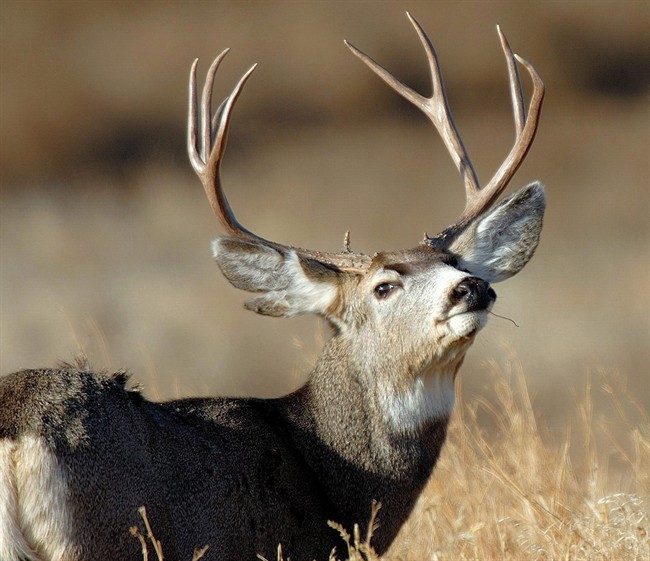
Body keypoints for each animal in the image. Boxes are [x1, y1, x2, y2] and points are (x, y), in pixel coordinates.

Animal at [0, 13, 544, 561]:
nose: (471, 287)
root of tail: (18, 425)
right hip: (104, 540)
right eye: (384, 287)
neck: (327, 471)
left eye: (452, 261)